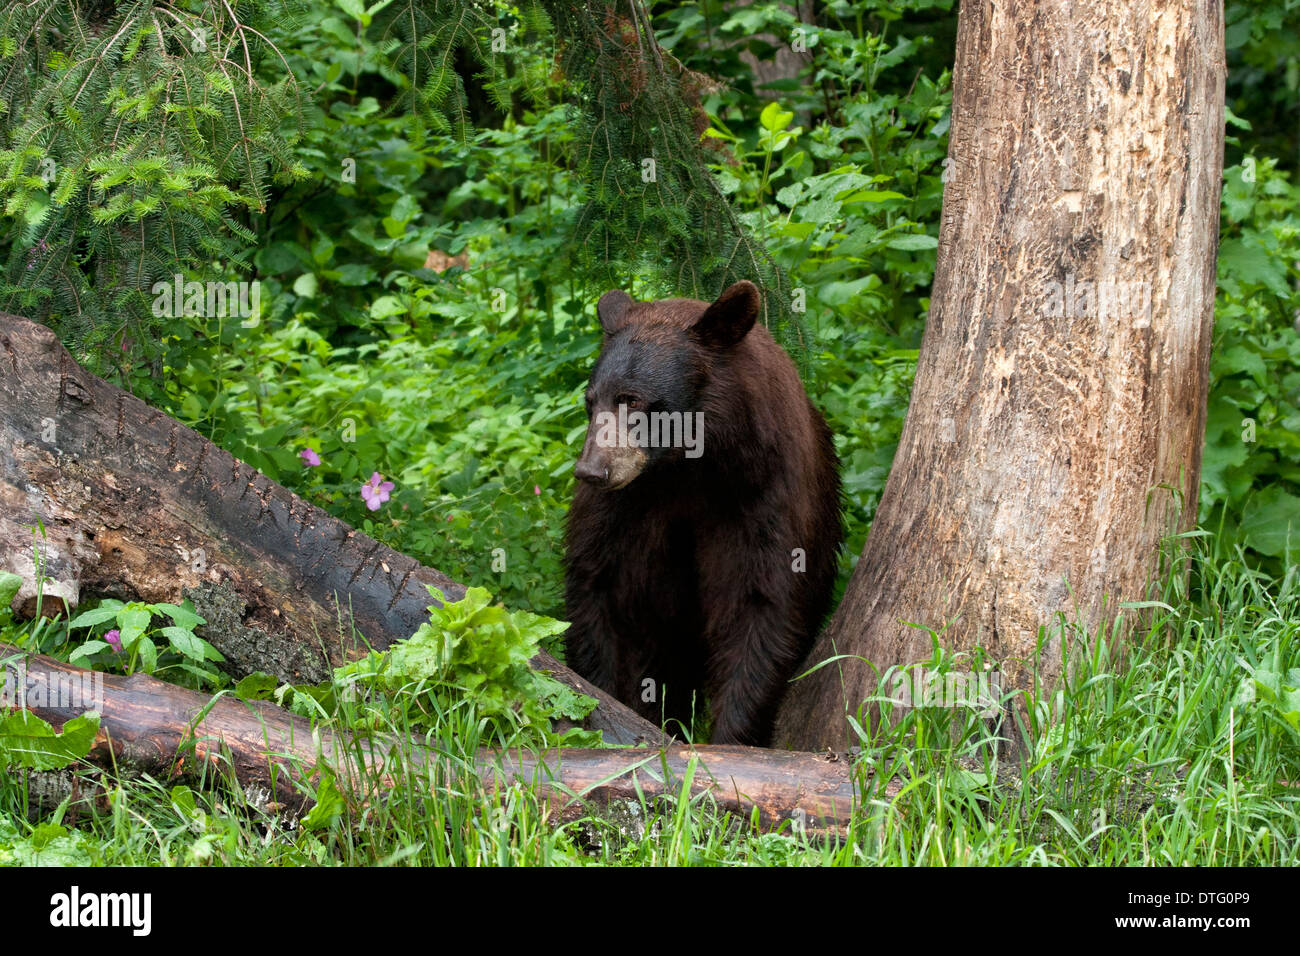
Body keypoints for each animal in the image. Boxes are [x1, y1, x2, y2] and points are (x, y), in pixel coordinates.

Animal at [563, 280, 843, 746]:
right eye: (590, 401)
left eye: (631, 400)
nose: (591, 470)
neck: (689, 470)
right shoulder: (622, 511)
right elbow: (598, 590)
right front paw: (609, 702)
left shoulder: (765, 498)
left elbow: (762, 604)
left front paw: (732, 738)